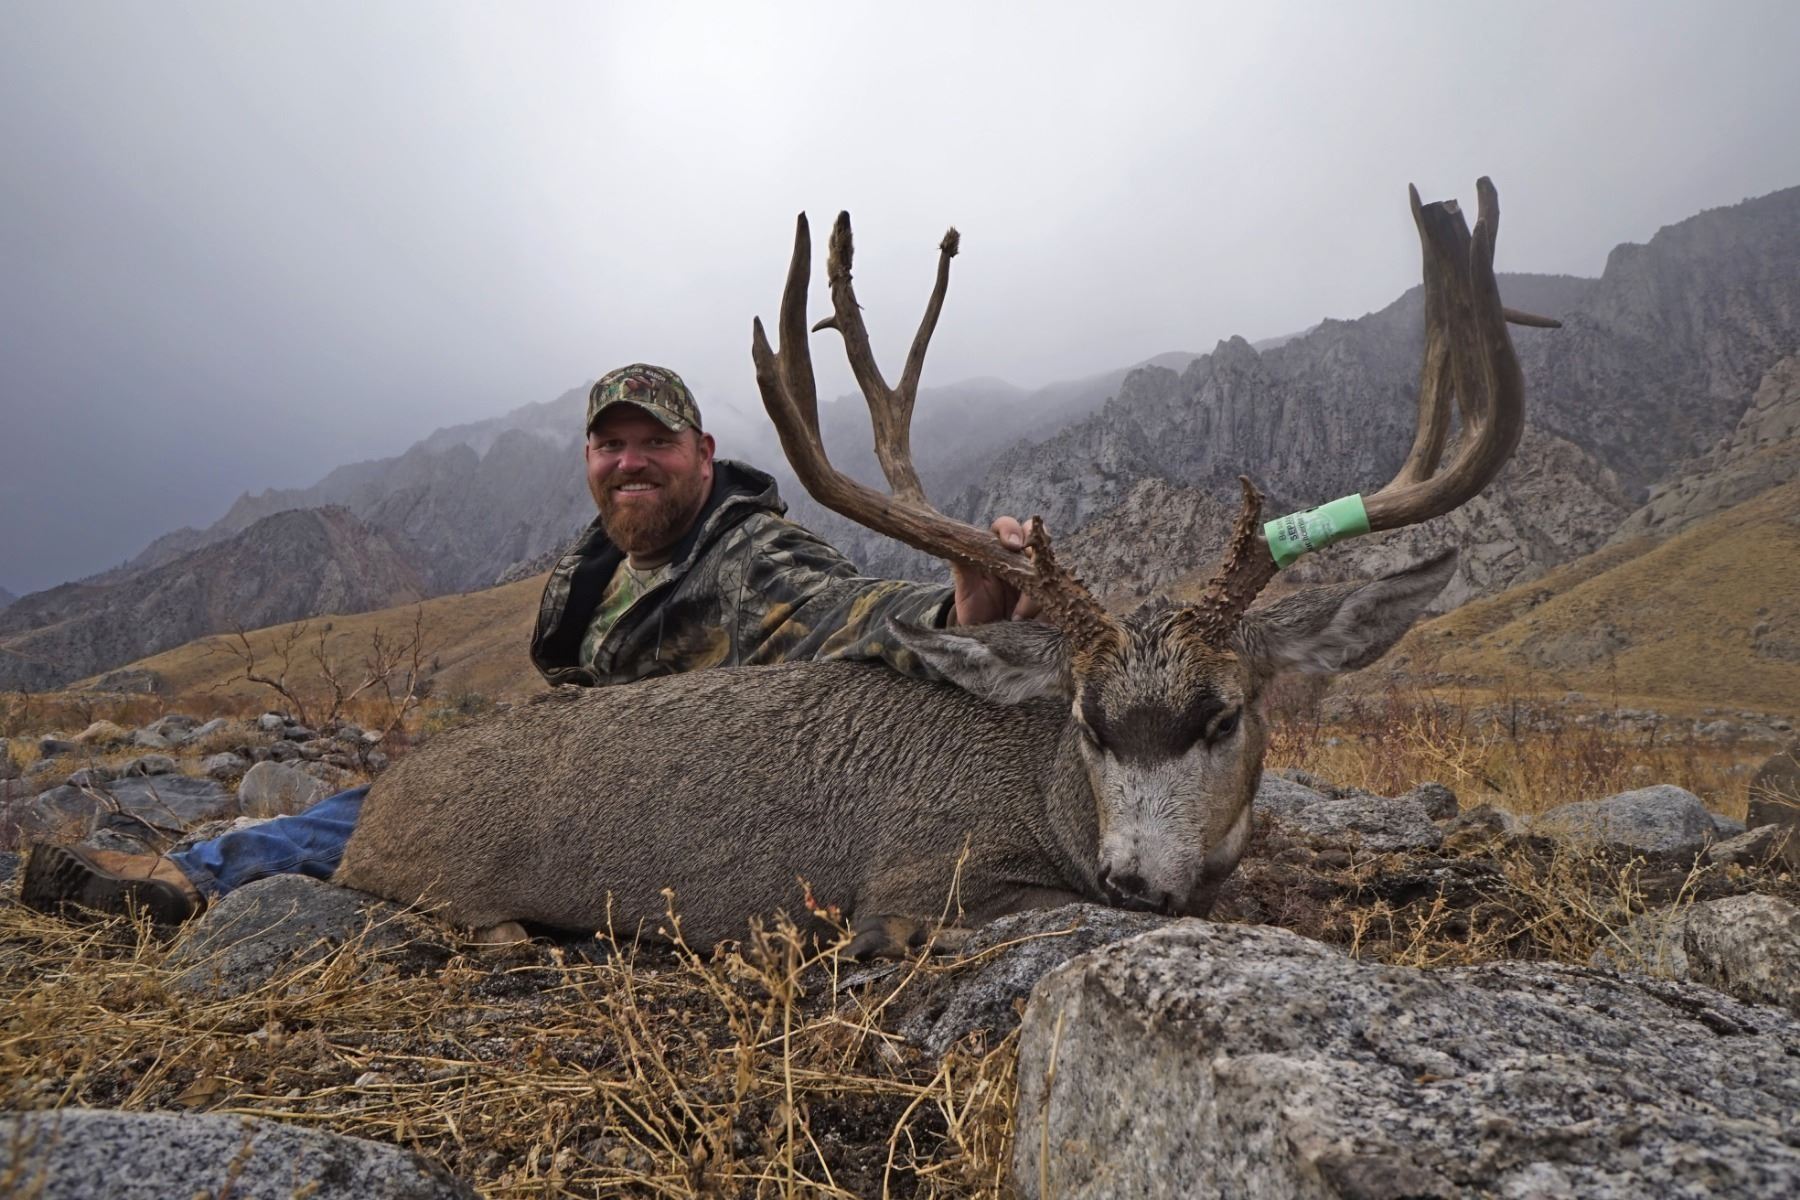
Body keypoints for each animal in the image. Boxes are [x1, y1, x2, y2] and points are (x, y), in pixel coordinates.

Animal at [334, 178, 1550, 956]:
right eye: (1086, 721)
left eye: (1224, 715)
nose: (1133, 879)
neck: (1046, 800)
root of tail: (374, 805)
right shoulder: (922, 881)